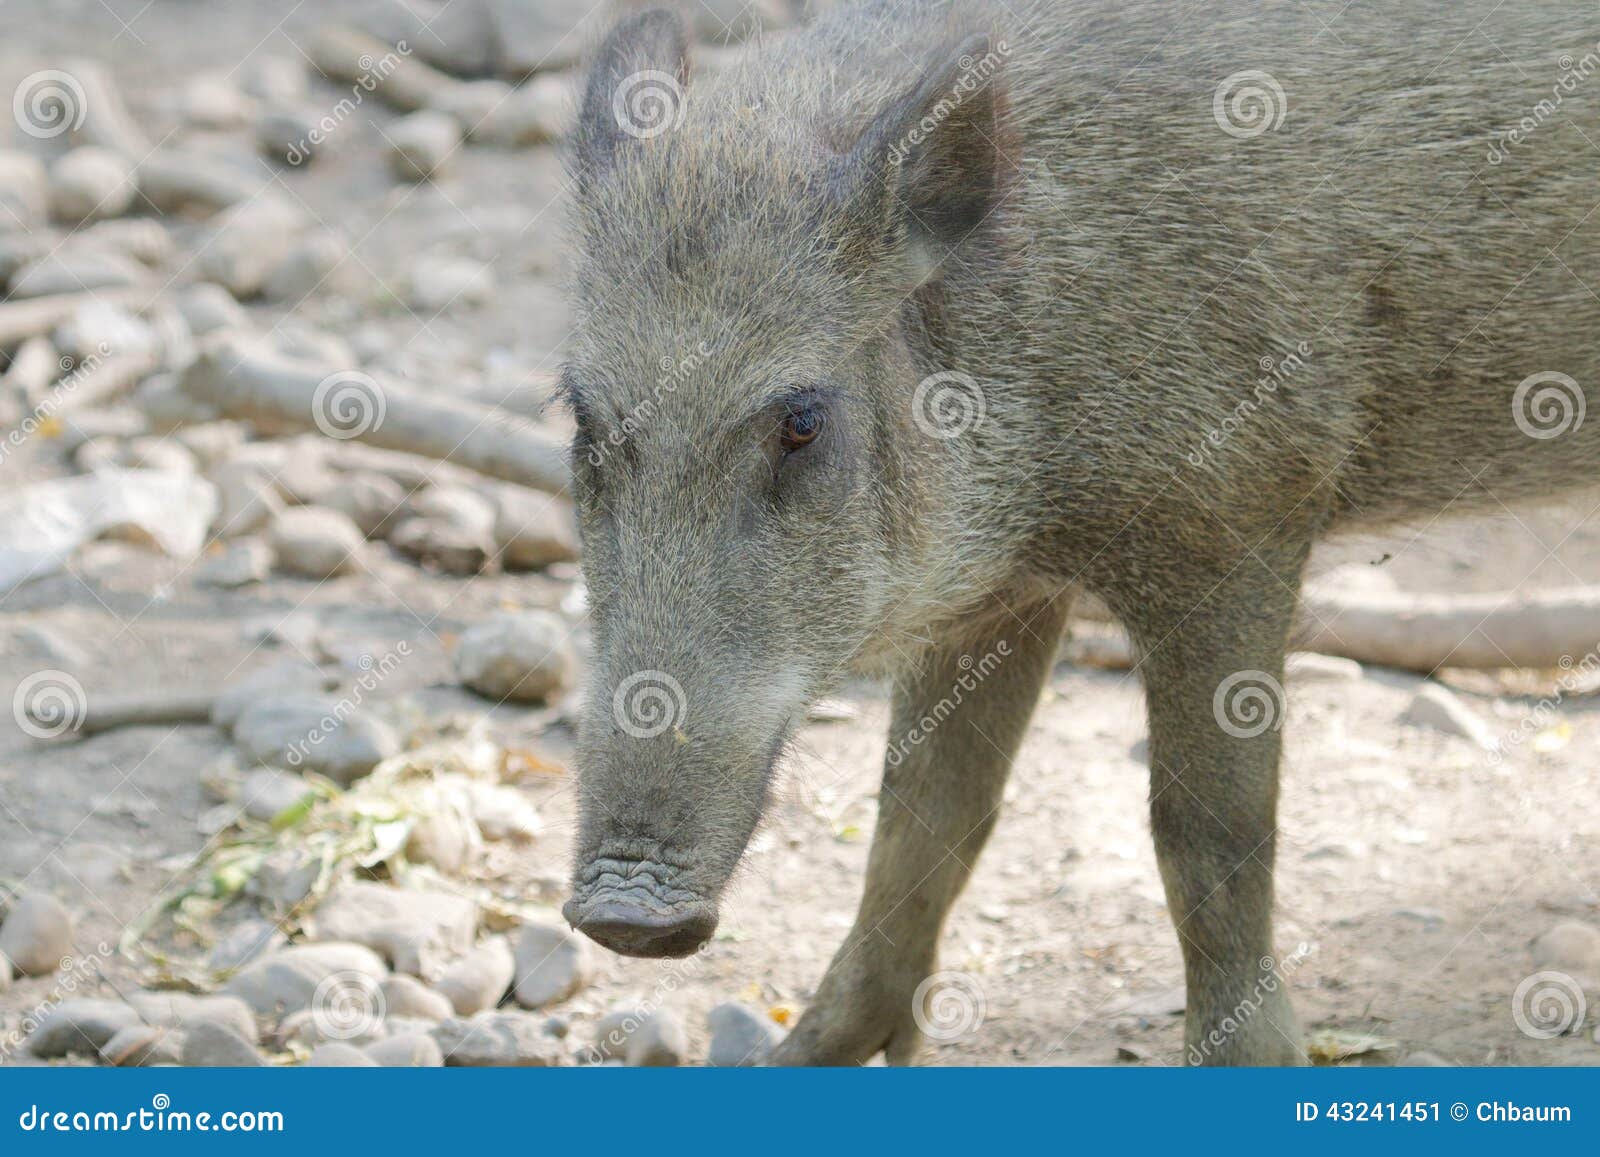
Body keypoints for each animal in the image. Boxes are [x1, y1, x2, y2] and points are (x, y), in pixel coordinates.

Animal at [557, 0, 1600, 1064]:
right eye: (584, 421)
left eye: (801, 420)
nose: (626, 915)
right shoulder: (1005, 591)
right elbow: (926, 819)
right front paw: (800, 1056)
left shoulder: (1240, 514)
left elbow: (1206, 834)